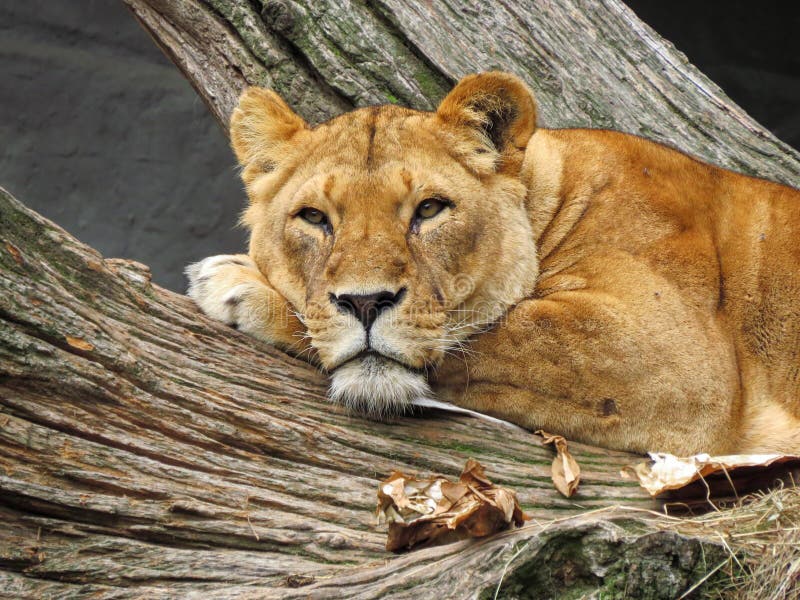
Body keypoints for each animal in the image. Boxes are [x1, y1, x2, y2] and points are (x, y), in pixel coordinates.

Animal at [186, 72, 800, 456]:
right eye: (314, 218)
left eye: (429, 209)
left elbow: (496, 333)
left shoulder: (675, 355)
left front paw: (238, 283)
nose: (365, 302)